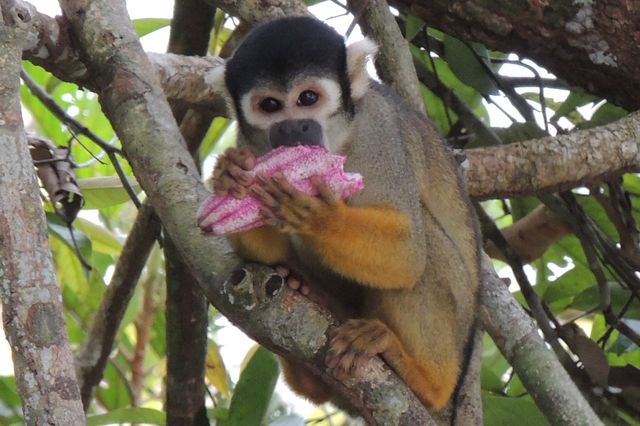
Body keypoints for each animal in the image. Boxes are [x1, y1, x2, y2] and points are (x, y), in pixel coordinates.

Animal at [209, 16, 481, 417]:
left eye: (308, 99)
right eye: (270, 105)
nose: (293, 129)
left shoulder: (378, 131)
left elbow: (407, 254)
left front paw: (319, 217)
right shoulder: (252, 144)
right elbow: (262, 254)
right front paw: (228, 178)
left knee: (426, 248)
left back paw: (426, 379)